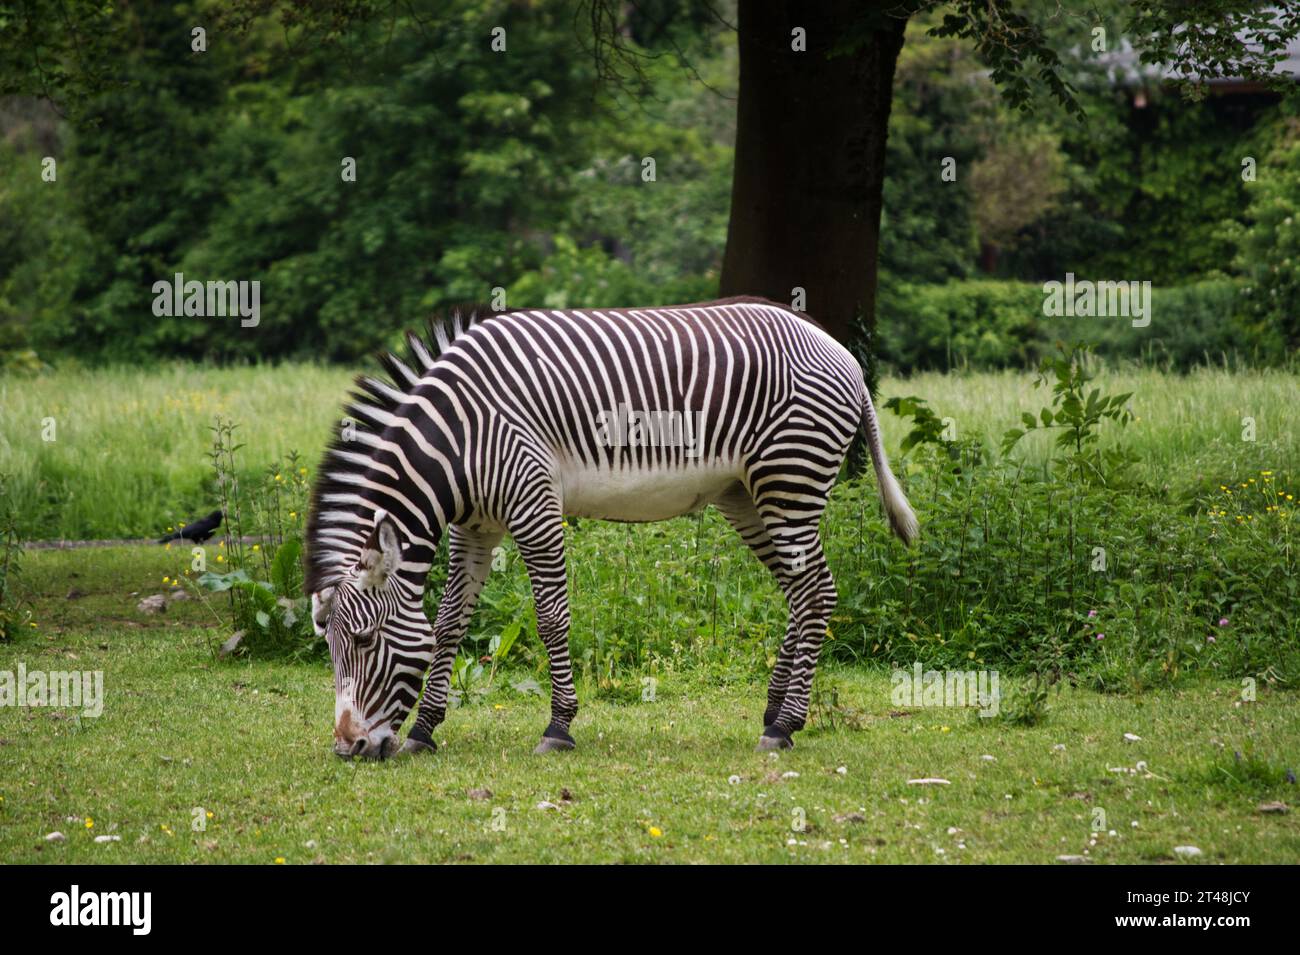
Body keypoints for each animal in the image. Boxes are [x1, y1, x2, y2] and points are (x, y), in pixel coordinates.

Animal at [306, 296, 917, 760]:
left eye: (364, 640)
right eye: (327, 645)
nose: (347, 748)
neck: (458, 437)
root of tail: (841, 351)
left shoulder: (534, 503)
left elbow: (551, 618)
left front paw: (558, 727)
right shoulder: (475, 526)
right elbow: (450, 622)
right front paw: (425, 730)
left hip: (791, 478)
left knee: (818, 592)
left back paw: (786, 724)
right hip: (747, 495)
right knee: (800, 591)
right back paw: (772, 713)